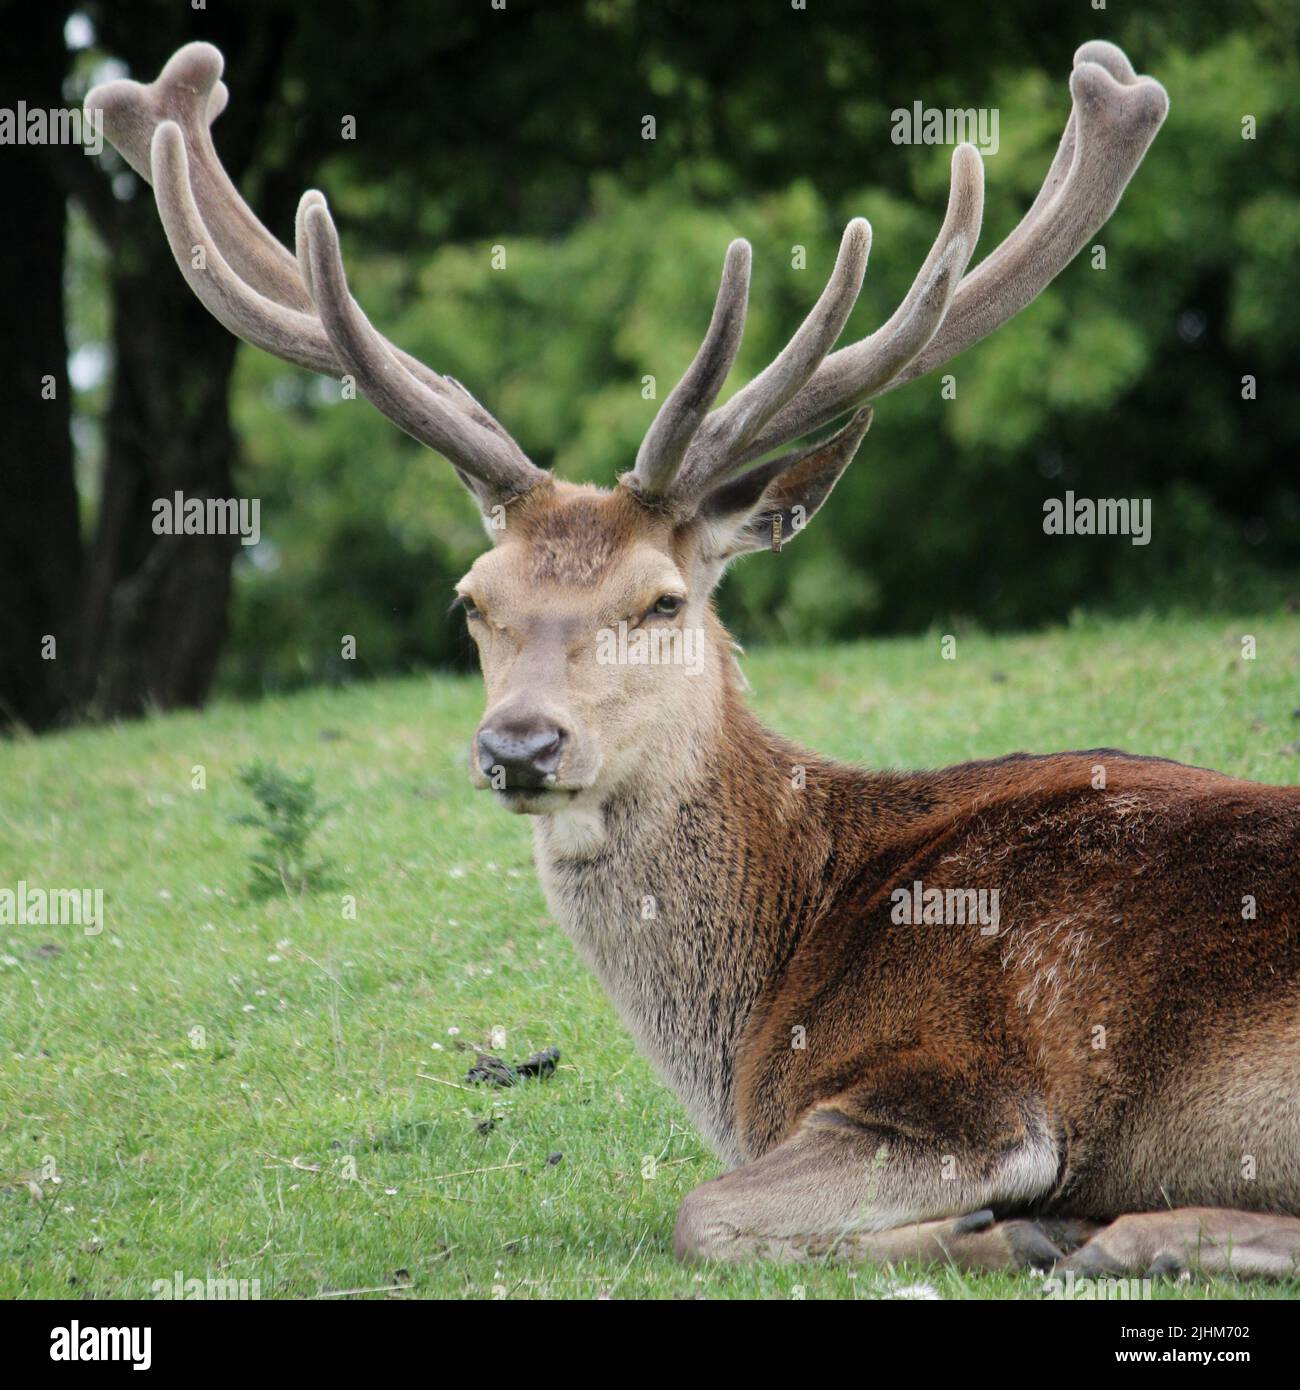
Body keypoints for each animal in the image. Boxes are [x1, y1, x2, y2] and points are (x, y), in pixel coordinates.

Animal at [87, 40, 1300, 1280]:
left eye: (662, 598)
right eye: (472, 600)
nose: (519, 744)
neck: (754, 1017)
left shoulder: (958, 1088)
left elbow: (699, 1210)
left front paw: (1012, 1225)